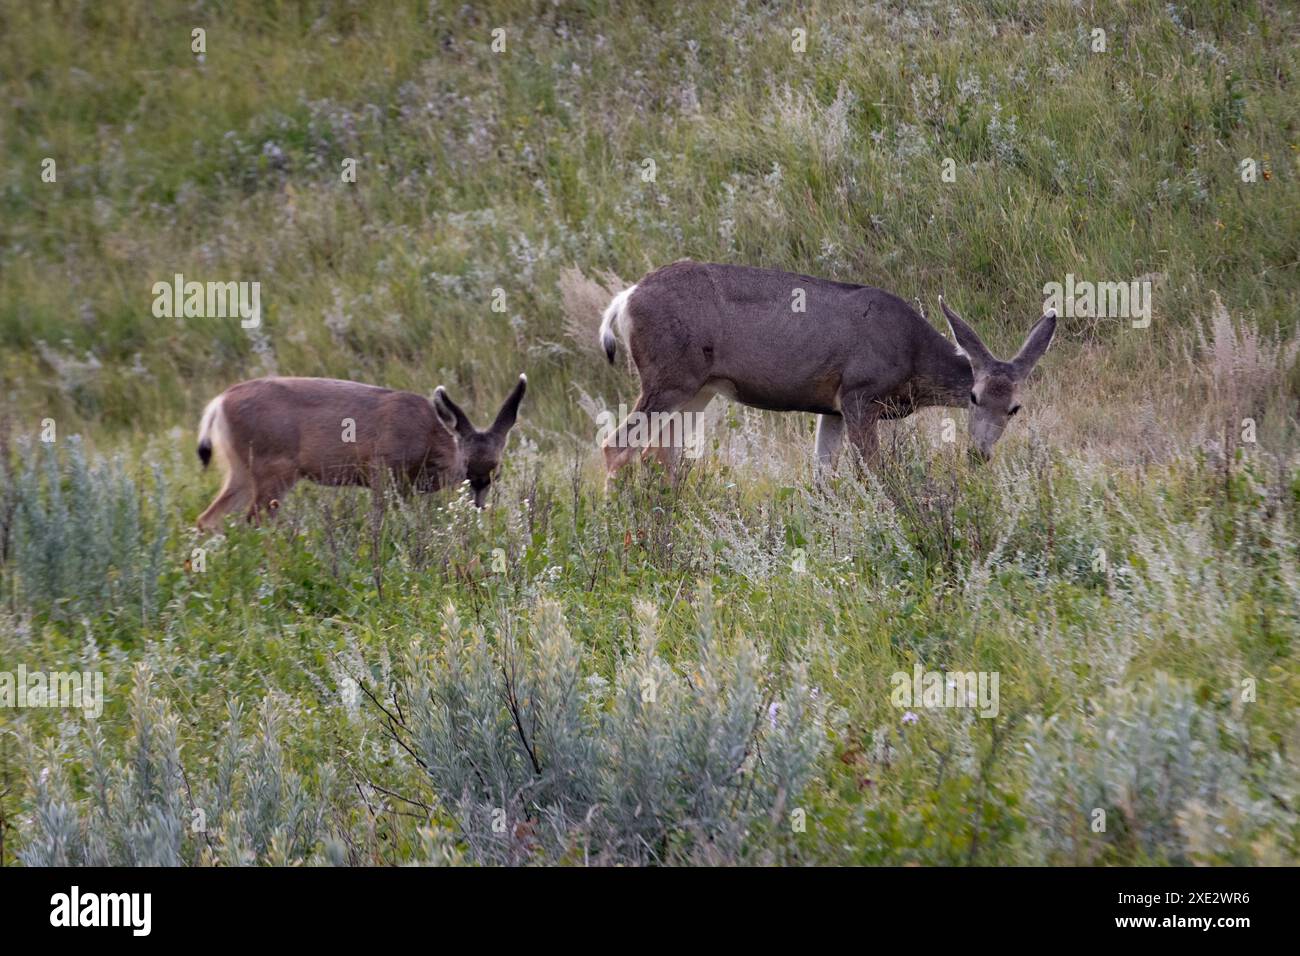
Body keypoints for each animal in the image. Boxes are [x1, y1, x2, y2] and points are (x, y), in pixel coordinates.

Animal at [195, 374, 527, 532]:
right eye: (465, 467)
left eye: (497, 470)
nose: (478, 504)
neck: (427, 438)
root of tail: (219, 403)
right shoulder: (383, 469)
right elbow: (380, 520)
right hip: (273, 467)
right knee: (254, 520)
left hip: (241, 469)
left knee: (207, 519)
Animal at [597, 260, 1056, 474]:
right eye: (974, 396)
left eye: (1015, 408)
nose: (979, 455)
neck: (913, 355)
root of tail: (625, 298)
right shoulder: (859, 393)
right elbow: (875, 471)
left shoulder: (832, 408)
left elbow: (822, 474)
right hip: (668, 377)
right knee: (616, 446)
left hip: (698, 389)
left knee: (663, 453)